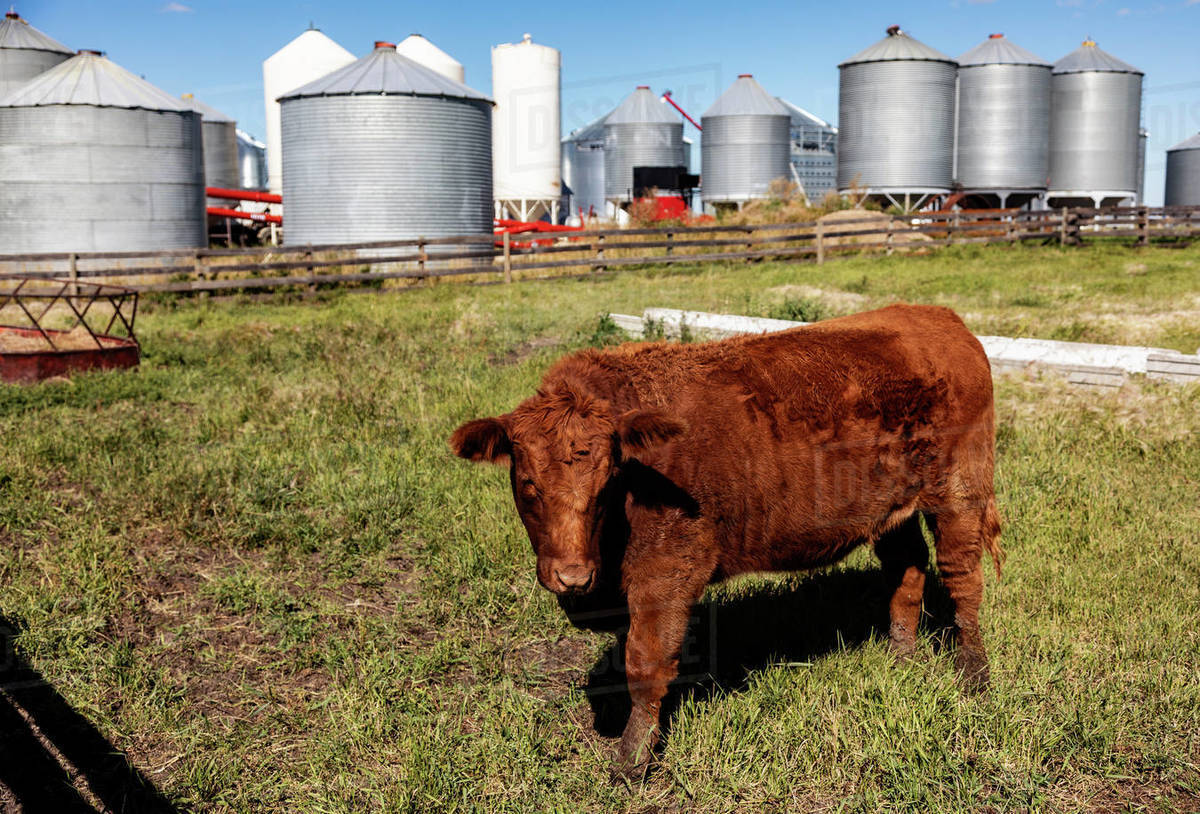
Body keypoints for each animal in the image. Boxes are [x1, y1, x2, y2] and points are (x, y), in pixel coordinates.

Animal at [450, 303, 1002, 778]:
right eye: (527, 484)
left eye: (608, 481)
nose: (571, 575)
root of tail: (938, 317)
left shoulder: (668, 568)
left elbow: (644, 661)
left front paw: (631, 760)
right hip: (893, 507)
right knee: (906, 570)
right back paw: (900, 658)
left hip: (961, 489)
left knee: (962, 576)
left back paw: (973, 676)